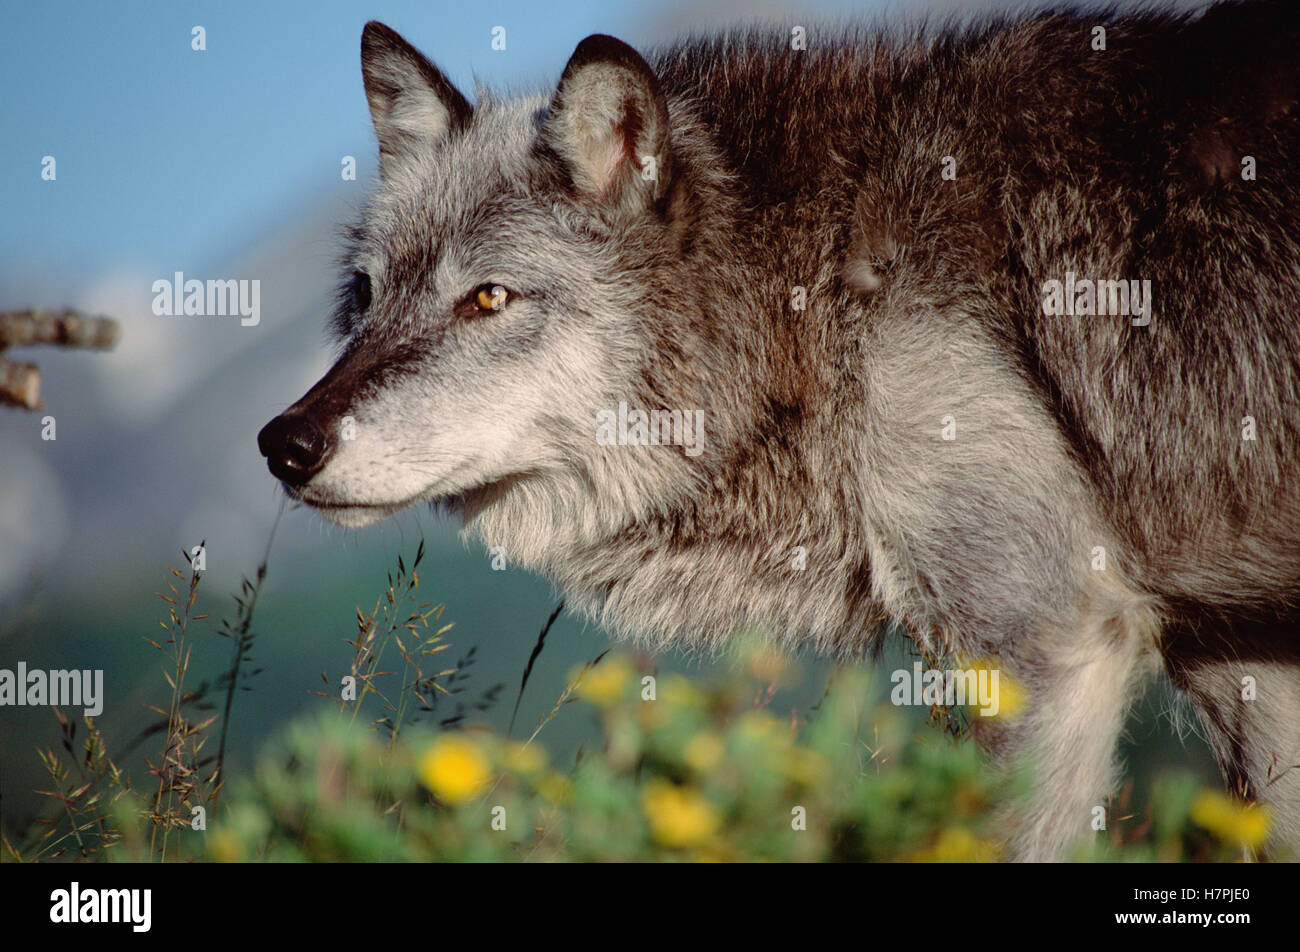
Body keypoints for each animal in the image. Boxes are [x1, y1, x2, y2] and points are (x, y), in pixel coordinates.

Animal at [259, 1, 1300, 860]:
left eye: (488, 298)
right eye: (367, 297)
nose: (283, 445)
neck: (821, 282)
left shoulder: (1043, 644)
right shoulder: (1243, 661)